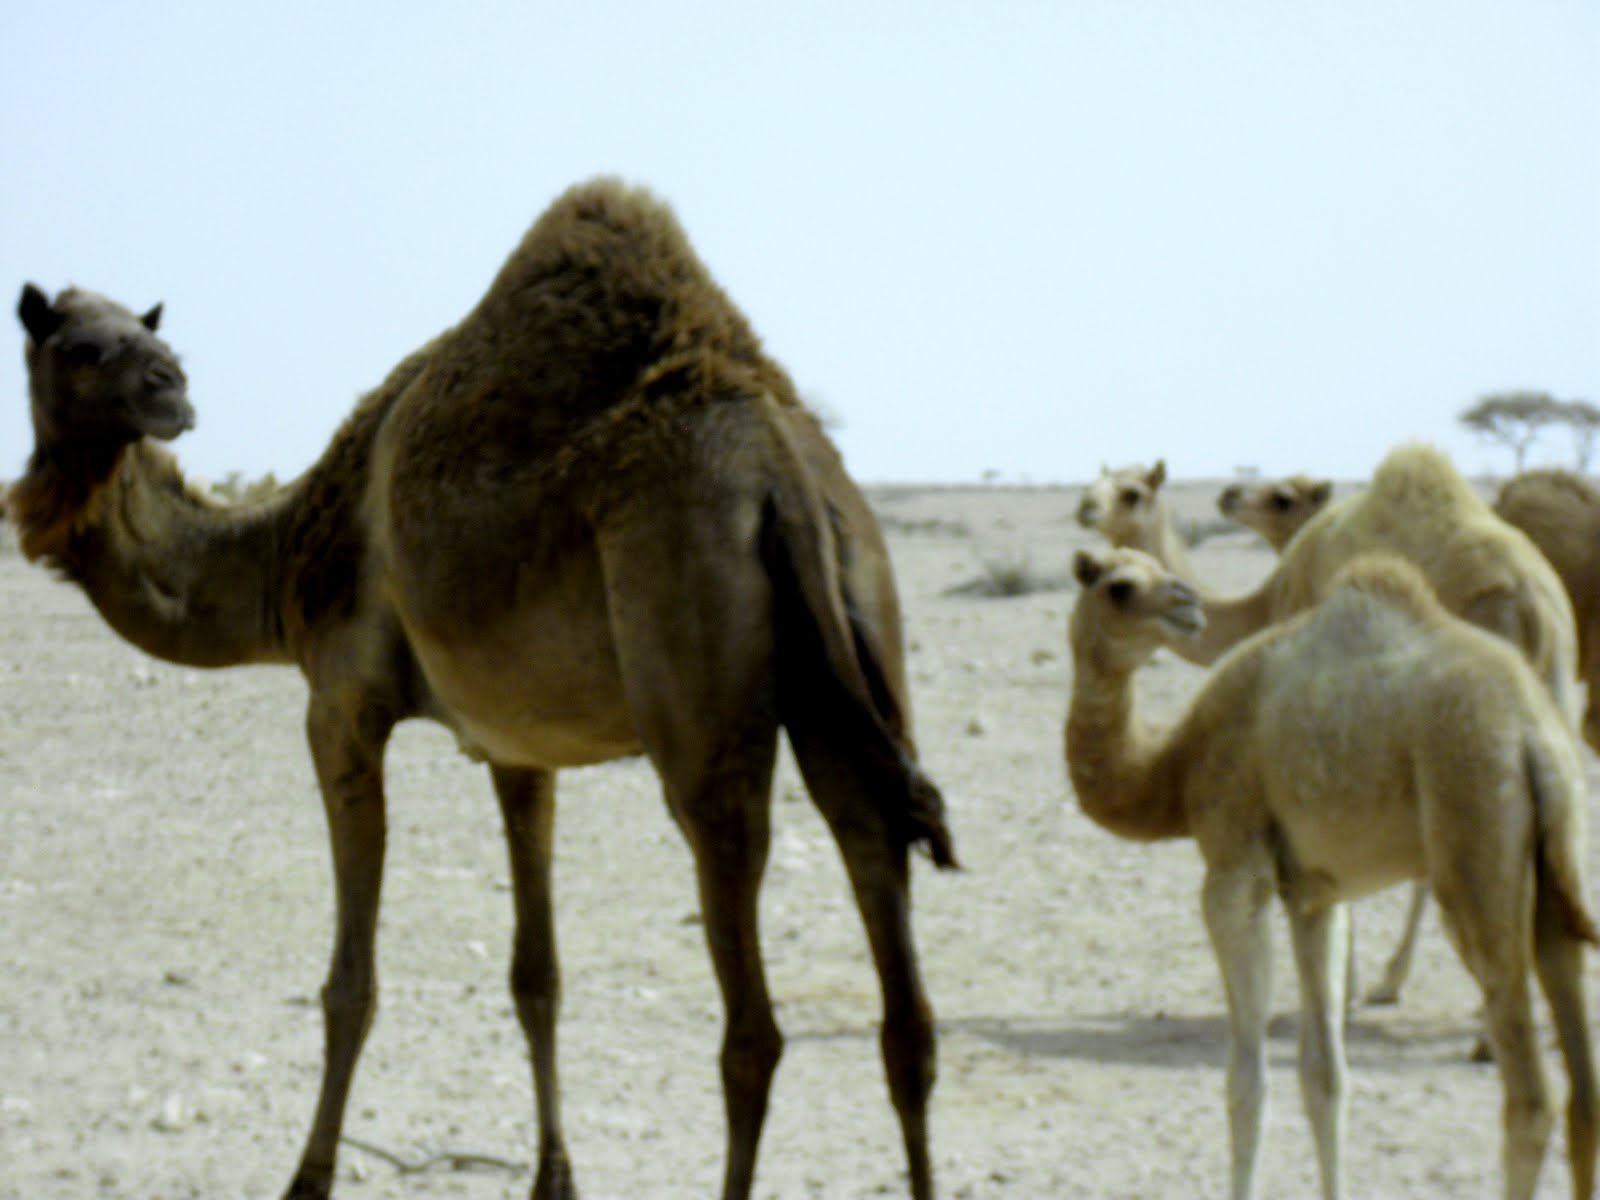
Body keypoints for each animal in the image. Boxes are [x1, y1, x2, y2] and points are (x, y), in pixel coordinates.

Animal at [10, 178, 957, 1200]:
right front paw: (554, 1178)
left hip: (700, 681)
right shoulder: (517, 746)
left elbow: (350, 986)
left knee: (752, 1024)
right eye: (78, 345)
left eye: (136, 339)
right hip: (855, 638)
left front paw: (307, 1179)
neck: (280, 555)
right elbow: (536, 978)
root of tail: (784, 473)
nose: (171, 387)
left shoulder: (339, 704)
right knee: (896, 965)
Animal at [1064, 545, 1598, 1200]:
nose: (1185, 602)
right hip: (1558, 861)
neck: (1174, 767)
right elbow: (1325, 1078)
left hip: (1476, 844)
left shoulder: (1233, 870)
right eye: (1119, 586)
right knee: (1583, 1087)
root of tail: (1533, 738)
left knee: (1531, 1098)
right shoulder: (1314, 896)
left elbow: (1247, 1081)